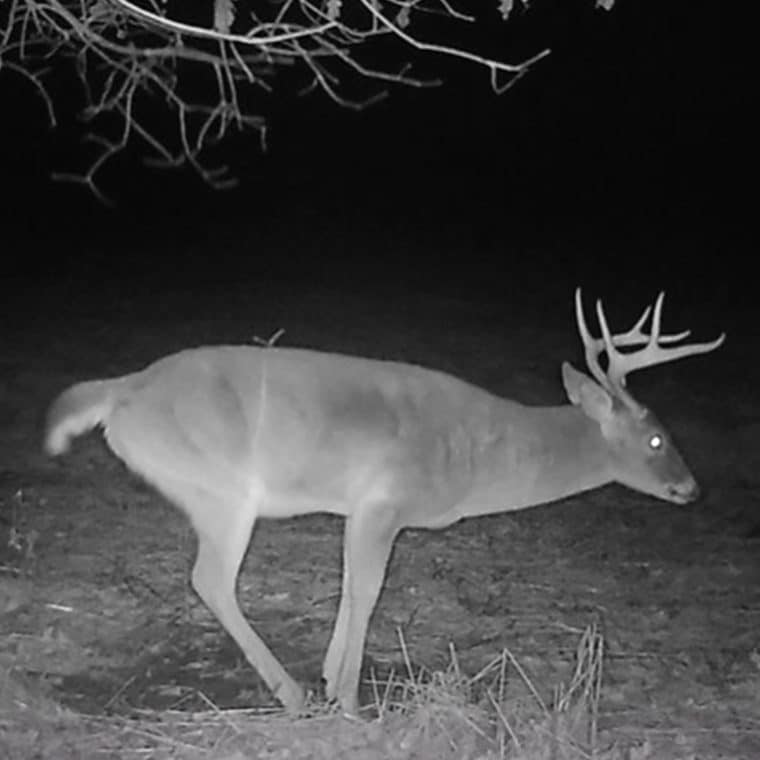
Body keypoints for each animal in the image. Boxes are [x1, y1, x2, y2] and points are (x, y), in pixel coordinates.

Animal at [44, 288, 724, 716]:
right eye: (657, 438)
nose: (691, 489)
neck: (474, 454)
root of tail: (123, 390)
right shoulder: (384, 501)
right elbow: (369, 592)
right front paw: (346, 699)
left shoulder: (358, 509)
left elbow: (350, 587)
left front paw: (331, 676)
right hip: (225, 490)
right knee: (211, 578)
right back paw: (290, 695)